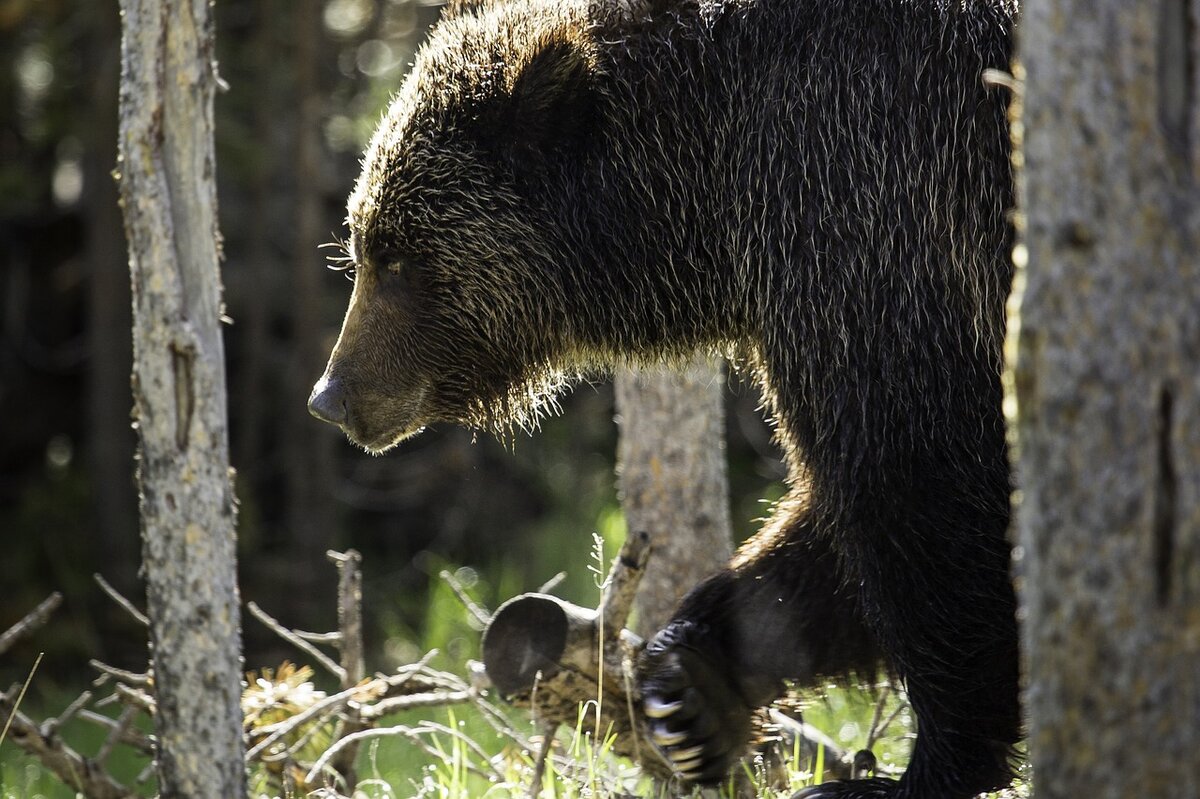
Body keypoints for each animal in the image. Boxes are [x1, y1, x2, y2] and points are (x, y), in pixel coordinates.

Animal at [309, 1, 1022, 791]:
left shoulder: (875, 222)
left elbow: (919, 479)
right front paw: (693, 689)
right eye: (361, 241)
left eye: (395, 257)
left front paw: (928, 763)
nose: (332, 396)